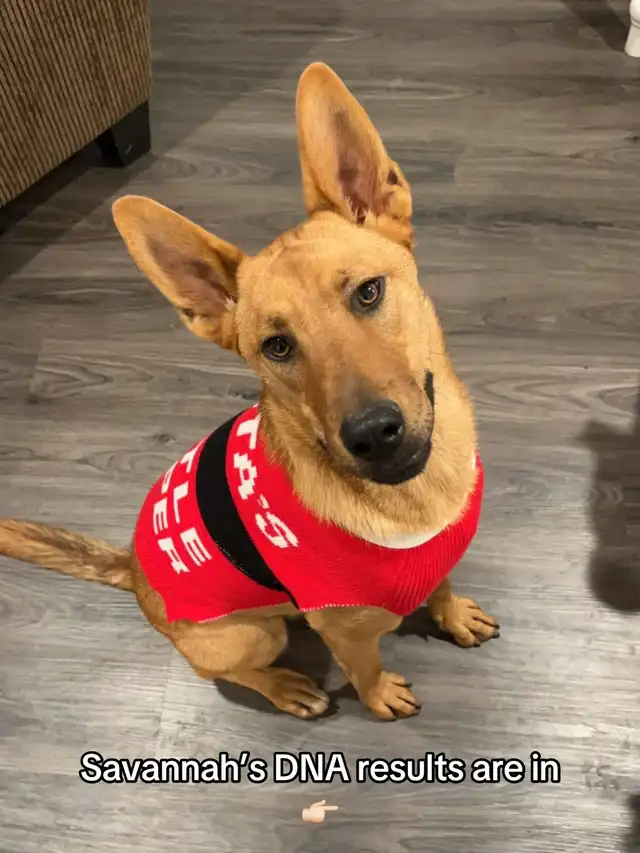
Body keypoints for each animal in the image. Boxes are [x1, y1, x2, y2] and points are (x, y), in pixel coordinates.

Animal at [0, 63, 499, 721]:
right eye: (278, 346)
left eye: (368, 292)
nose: (373, 435)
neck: (416, 500)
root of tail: (134, 574)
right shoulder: (344, 632)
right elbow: (364, 668)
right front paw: (379, 696)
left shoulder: (437, 558)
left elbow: (441, 582)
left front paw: (451, 614)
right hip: (254, 633)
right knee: (232, 670)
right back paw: (287, 688)